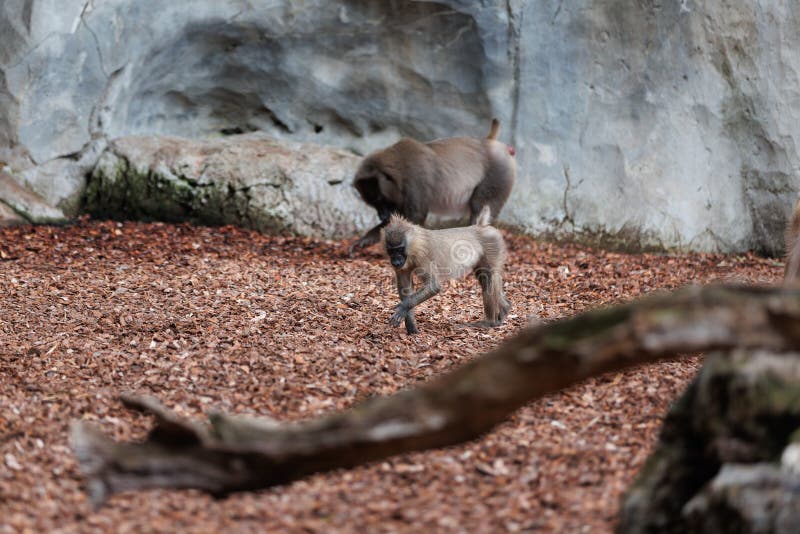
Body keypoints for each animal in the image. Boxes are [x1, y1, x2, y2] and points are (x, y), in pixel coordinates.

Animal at [350, 118, 516, 254]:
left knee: (480, 208)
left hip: (497, 177)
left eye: (380, 199)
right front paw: (365, 240)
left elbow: (415, 216)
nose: (382, 216)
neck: (399, 167)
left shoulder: (415, 182)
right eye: (374, 204)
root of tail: (490, 141)